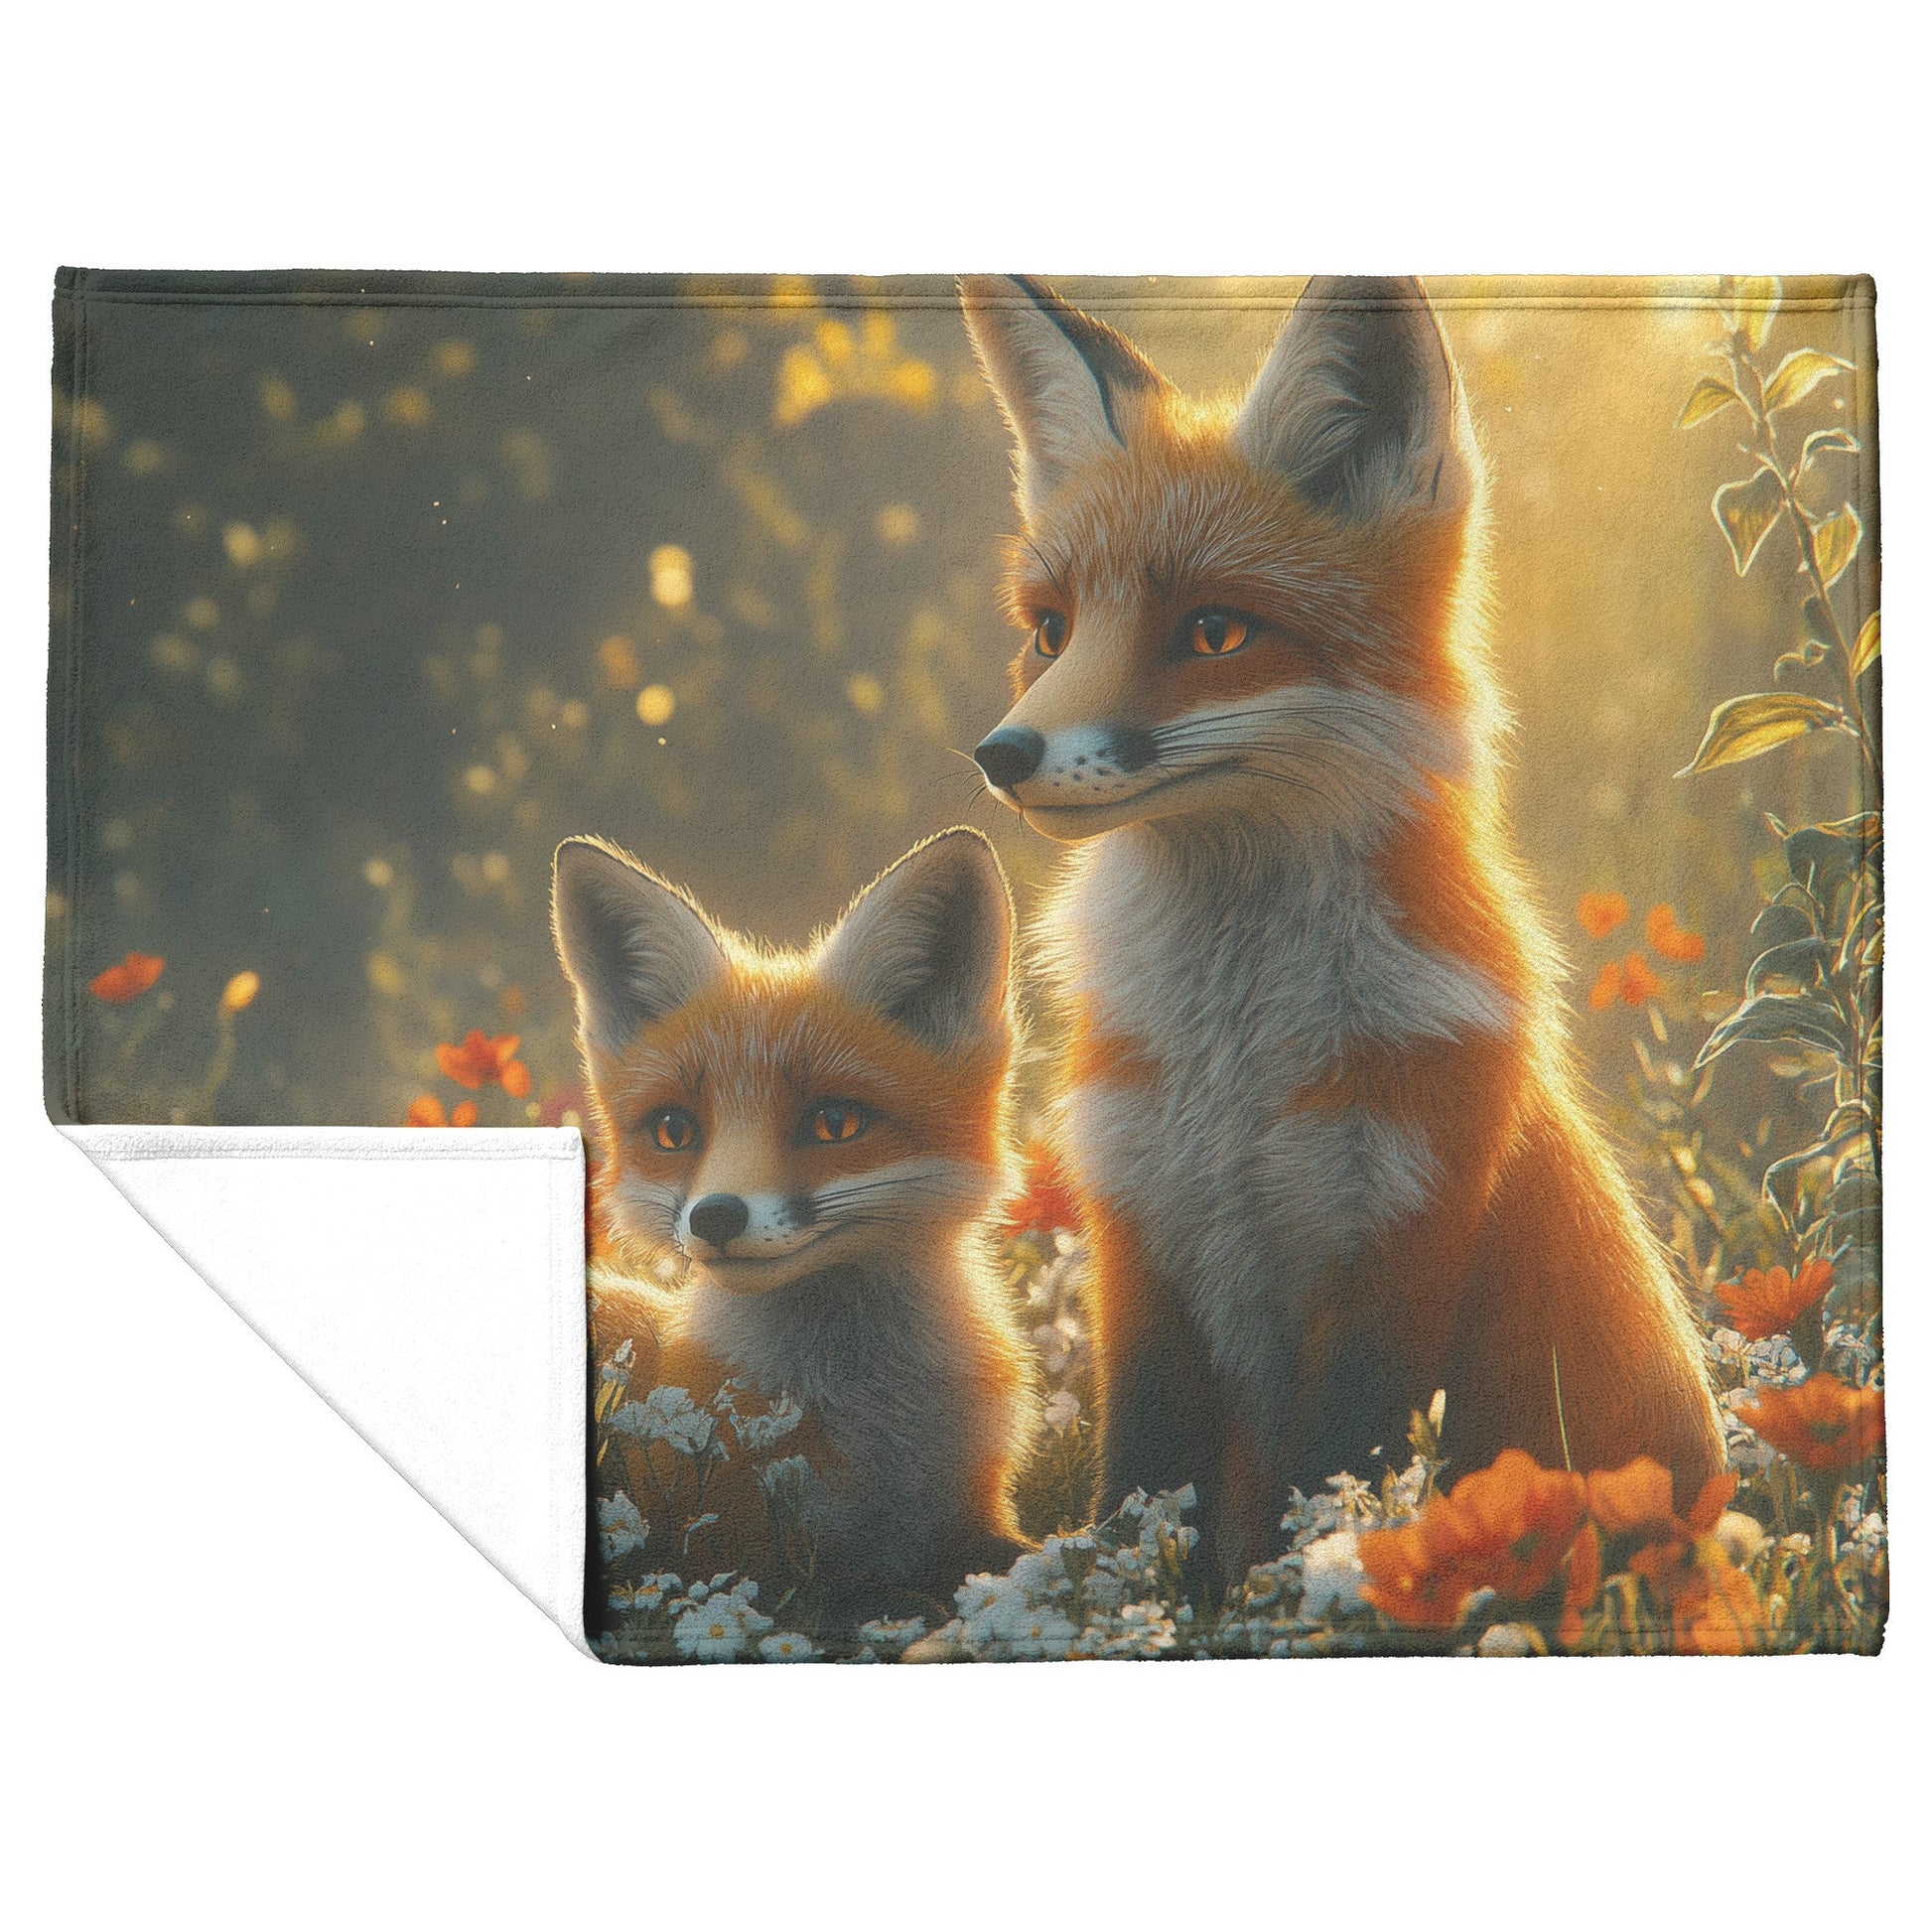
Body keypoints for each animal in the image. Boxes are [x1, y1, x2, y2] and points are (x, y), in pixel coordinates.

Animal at [553, 826, 1034, 1619]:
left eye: (834, 1123)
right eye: (675, 1131)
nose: (714, 1216)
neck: (878, 1426)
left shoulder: (975, 1520)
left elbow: (1053, 1553)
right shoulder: (749, 1562)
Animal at [958, 274, 1726, 1581]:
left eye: (1214, 631)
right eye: (1050, 630)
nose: (1001, 754)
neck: (1232, 1058)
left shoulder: (1394, 1238)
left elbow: (1332, 1483)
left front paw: (1301, 1595)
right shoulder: (1135, 1234)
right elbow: (1140, 1482)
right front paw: (1113, 1594)